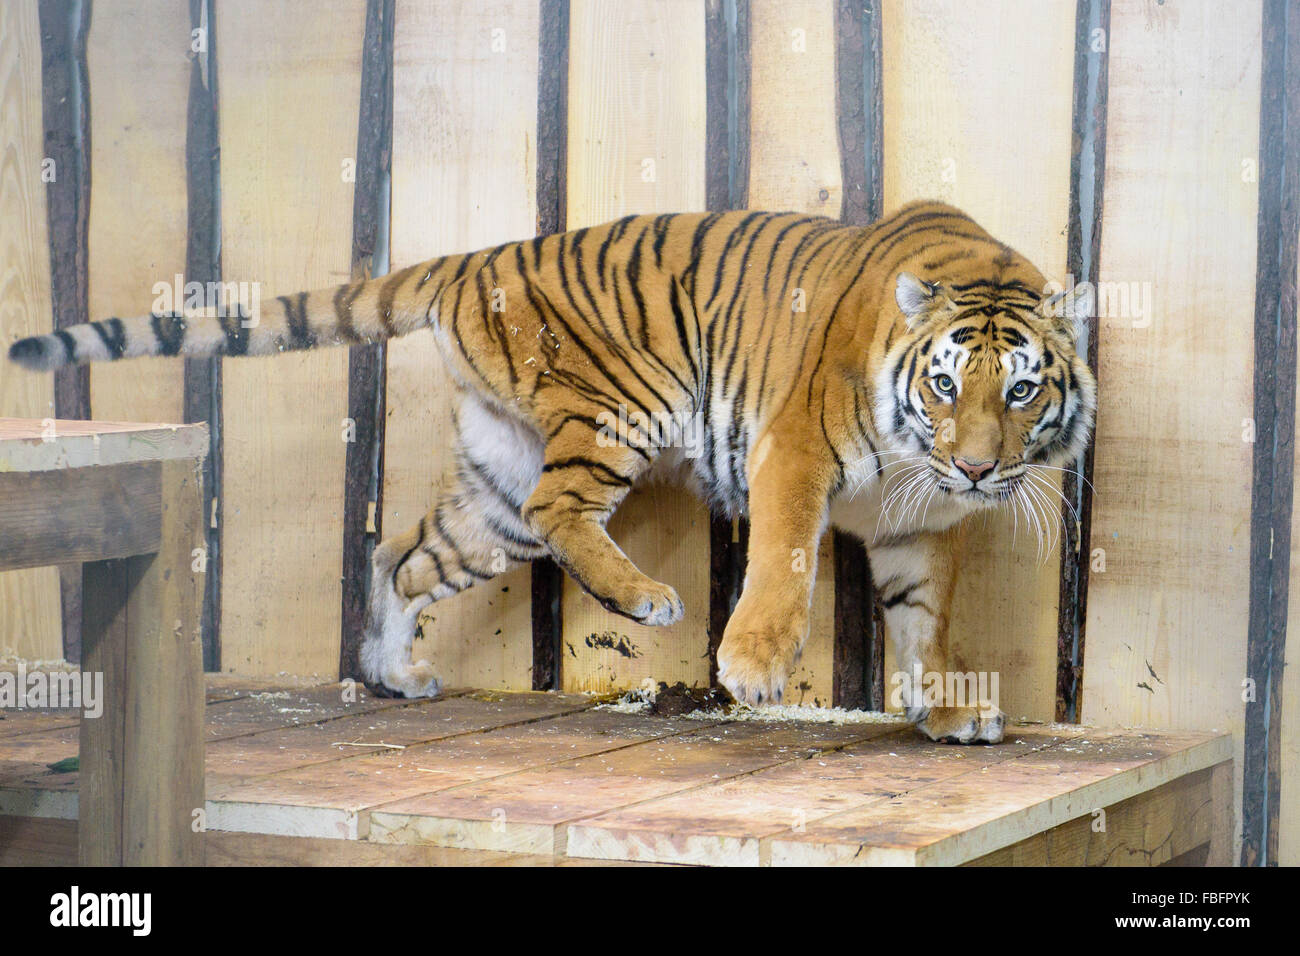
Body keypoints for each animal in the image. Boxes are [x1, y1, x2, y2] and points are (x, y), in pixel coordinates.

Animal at [7, 200, 1096, 744]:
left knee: (406, 552)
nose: (977, 468)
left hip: (494, 484)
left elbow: (924, 619)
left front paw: (945, 708)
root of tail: (474, 258)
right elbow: (786, 557)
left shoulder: (922, 525)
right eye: (946, 382)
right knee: (558, 508)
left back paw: (396, 672)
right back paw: (648, 597)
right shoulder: (796, 449)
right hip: (621, 406)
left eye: (1021, 392)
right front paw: (752, 664)